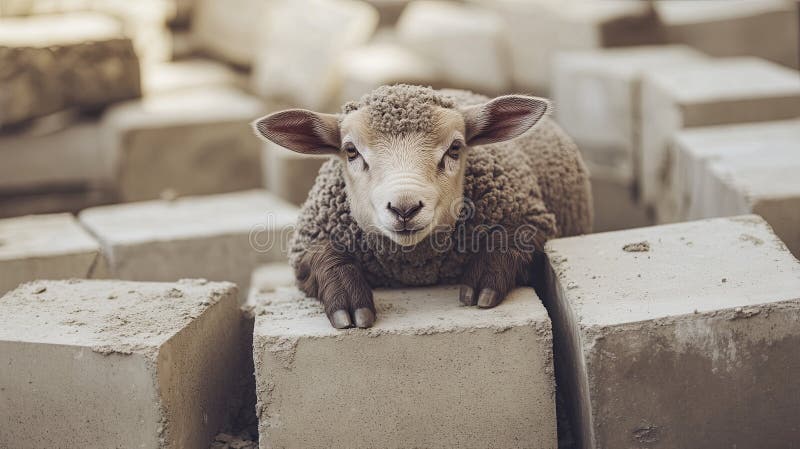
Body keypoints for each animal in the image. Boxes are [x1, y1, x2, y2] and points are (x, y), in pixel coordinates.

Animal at [253, 84, 592, 329]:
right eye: (350, 151)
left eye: (455, 148)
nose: (404, 209)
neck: (413, 264)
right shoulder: (306, 244)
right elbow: (325, 257)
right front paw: (348, 301)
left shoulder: (534, 220)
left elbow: (508, 241)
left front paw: (484, 281)